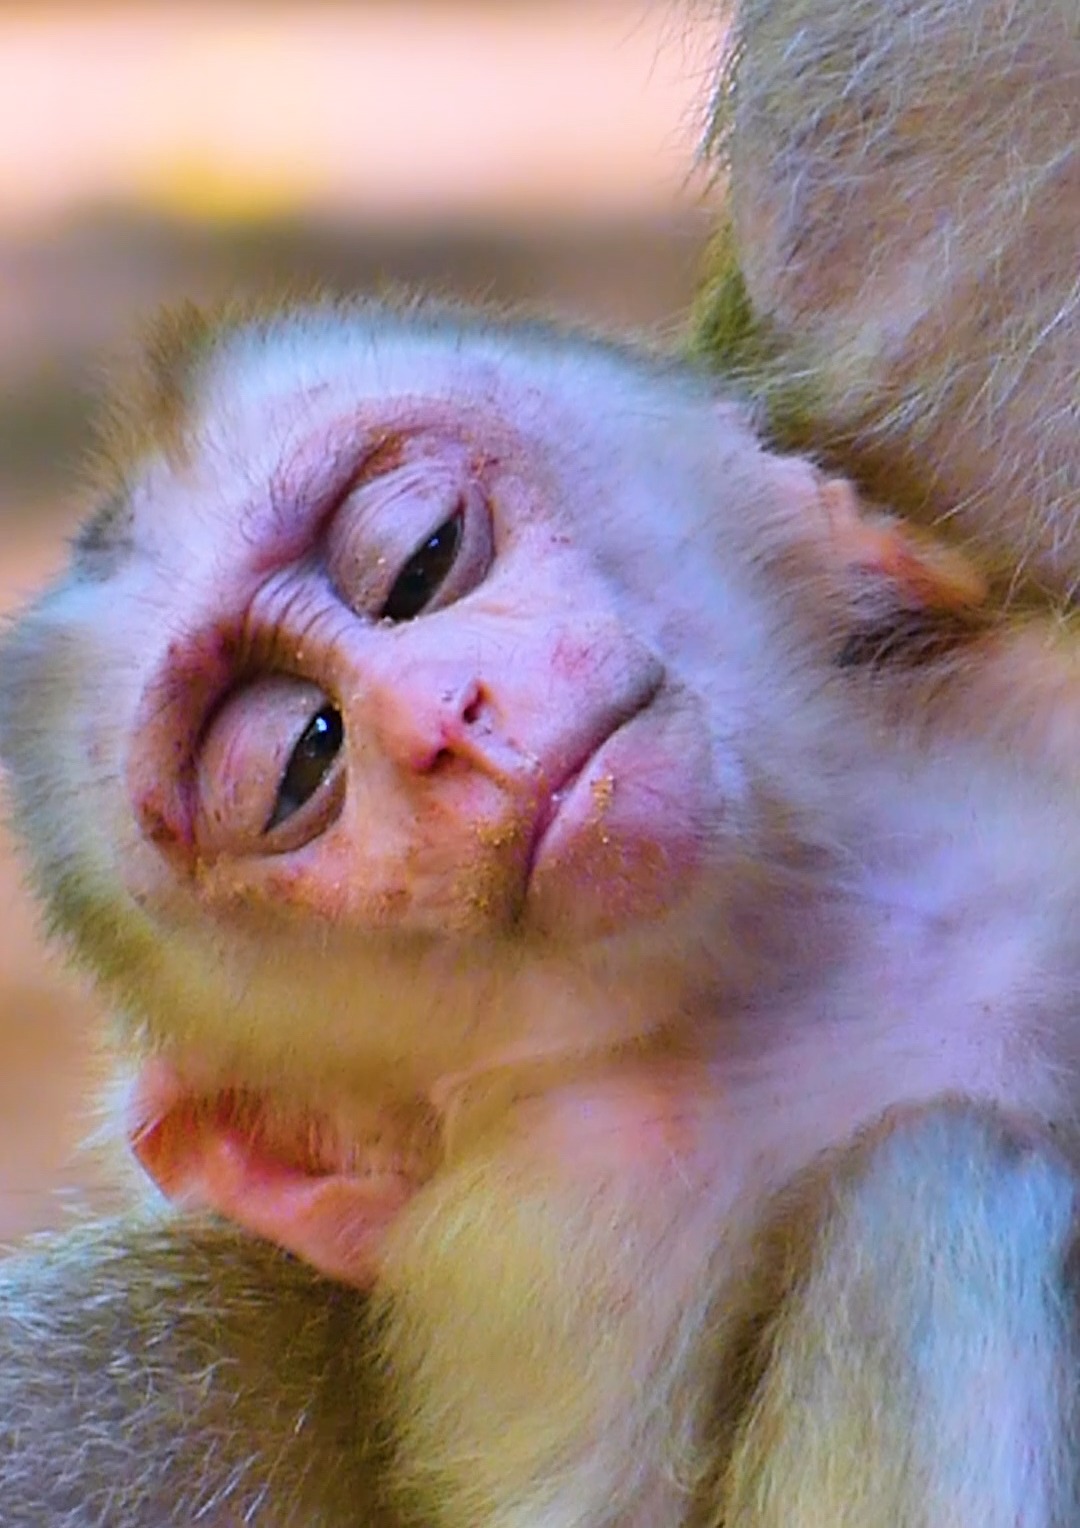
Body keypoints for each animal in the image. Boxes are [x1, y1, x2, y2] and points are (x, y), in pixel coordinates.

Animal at [3, 292, 1080, 1526]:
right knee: (943, 1193)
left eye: (420, 560)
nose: (445, 719)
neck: (829, 941)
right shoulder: (561, 1238)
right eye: (300, 761)